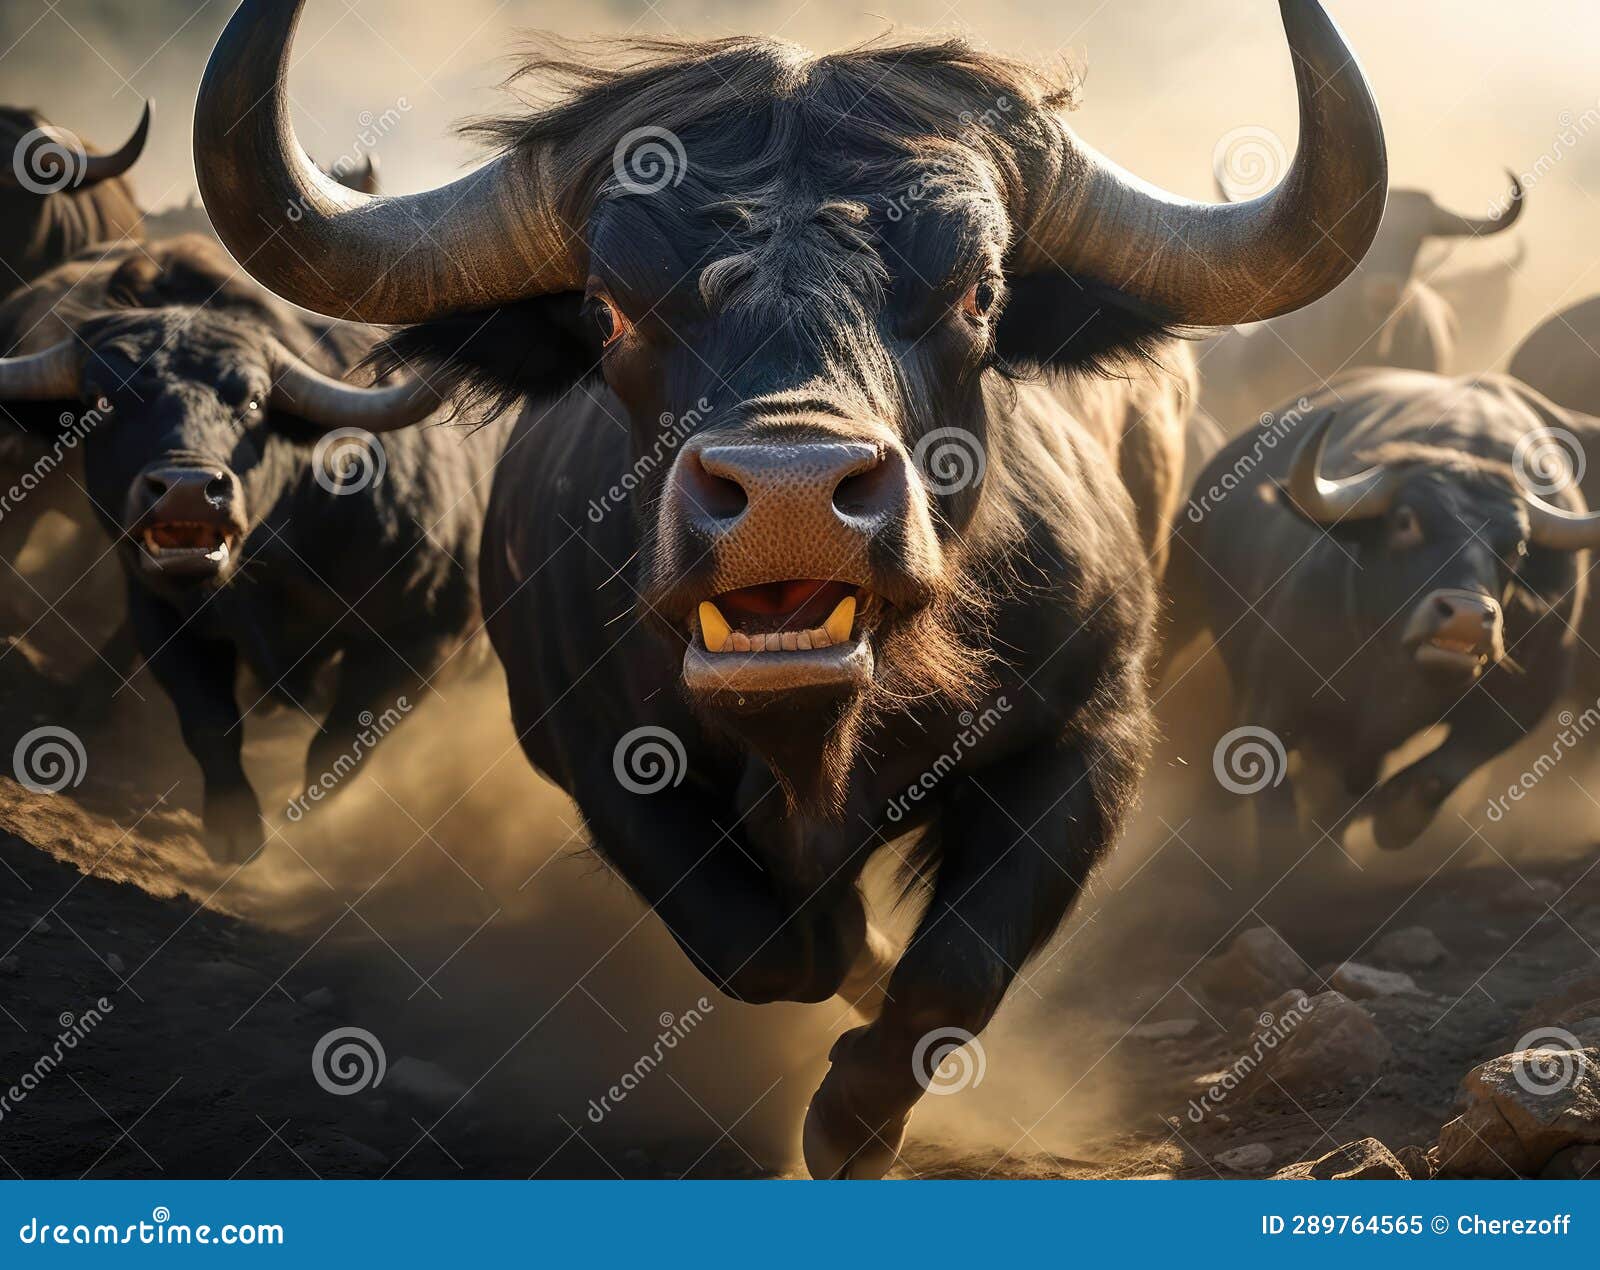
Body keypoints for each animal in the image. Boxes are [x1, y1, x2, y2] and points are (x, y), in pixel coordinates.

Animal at [0, 234, 498, 862]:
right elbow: (209, 721)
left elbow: (341, 744)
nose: (187, 490)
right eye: (100, 400)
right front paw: (233, 829)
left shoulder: (428, 636)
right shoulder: (162, 613)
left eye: (255, 402)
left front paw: (303, 832)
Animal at [191, 0, 1386, 1178]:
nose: (790, 496)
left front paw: (851, 1120)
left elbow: (954, 967)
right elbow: (771, 948)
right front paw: (849, 964)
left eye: (977, 293)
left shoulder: (1092, 729)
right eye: (609, 309)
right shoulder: (587, 749)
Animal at [1165, 370, 1600, 862]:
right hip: (1182, 572)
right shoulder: (1273, 697)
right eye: (1405, 521)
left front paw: (1391, 817)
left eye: (1517, 547)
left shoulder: (1529, 697)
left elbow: (1438, 773)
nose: (1467, 617)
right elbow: (1272, 800)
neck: (1395, 673)